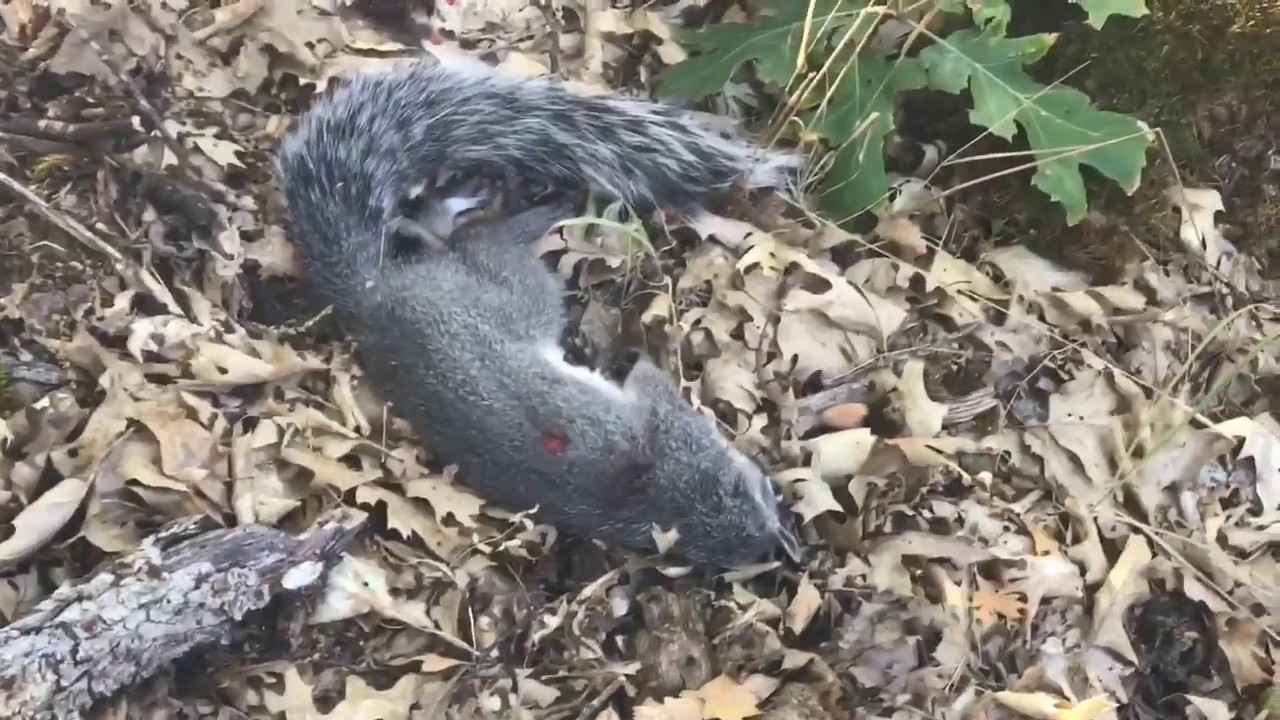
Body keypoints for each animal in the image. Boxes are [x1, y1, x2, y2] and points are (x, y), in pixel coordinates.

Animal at [277, 57, 803, 568]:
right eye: (756, 486)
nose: (778, 532)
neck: (660, 494)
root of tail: (371, 295)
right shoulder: (662, 419)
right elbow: (650, 380)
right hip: (518, 286)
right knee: (484, 239)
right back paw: (537, 207)